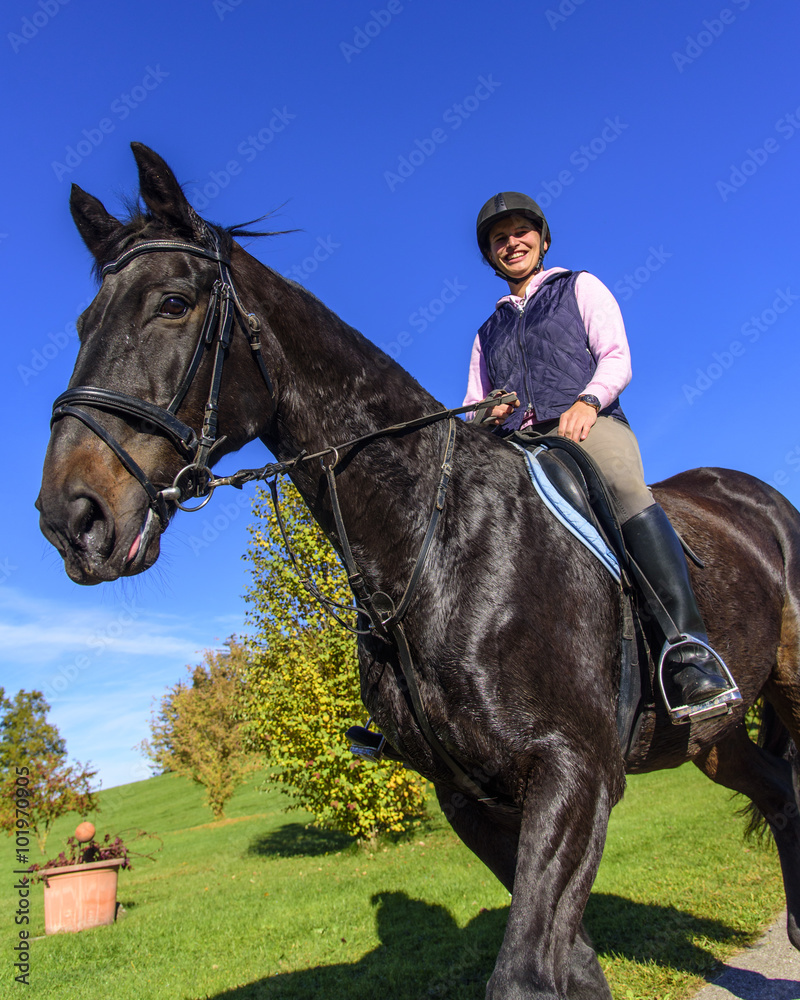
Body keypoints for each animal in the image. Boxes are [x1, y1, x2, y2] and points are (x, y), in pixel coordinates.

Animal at [36, 143, 800, 1000]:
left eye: (171, 303)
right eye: (84, 324)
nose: (71, 519)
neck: (439, 544)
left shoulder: (576, 772)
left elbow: (525, 973)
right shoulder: (469, 798)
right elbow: (569, 963)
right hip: (713, 737)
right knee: (778, 792)